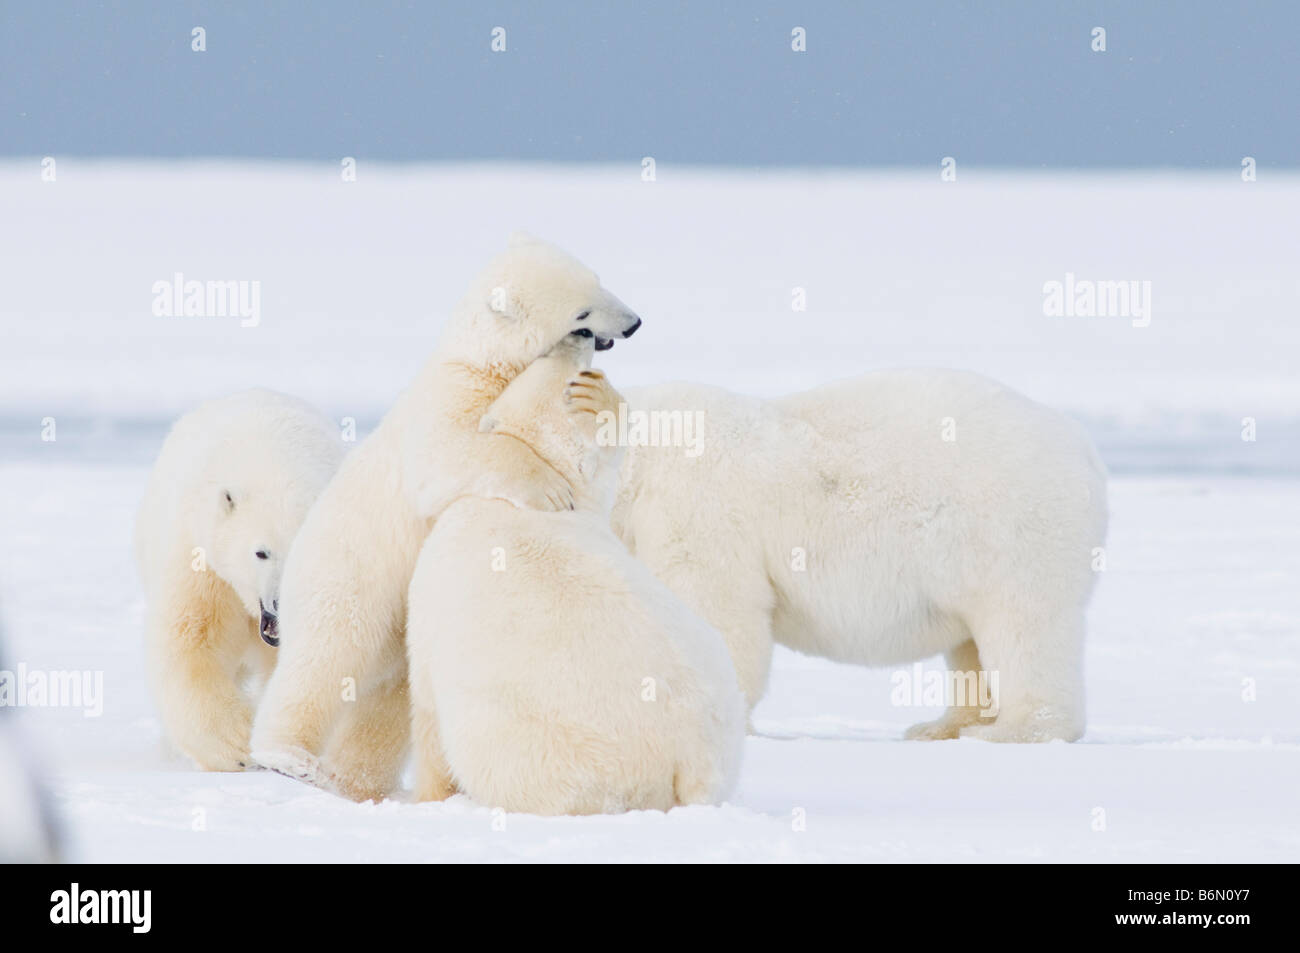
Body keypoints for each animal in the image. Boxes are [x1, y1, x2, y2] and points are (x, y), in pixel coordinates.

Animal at [133, 389, 344, 771]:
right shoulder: (203, 560)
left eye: (301, 549)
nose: (279, 602)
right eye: (261, 552)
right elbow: (189, 641)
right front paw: (237, 746)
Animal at [249, 235, 642, 801]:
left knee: (391, 693)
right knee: (329, 653)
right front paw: (549, 488)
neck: (488, 361)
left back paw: (353, 779)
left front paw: (600, 398)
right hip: (350, 570)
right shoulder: (455, 396)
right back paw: (288, 756)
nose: (633, 324)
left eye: (598, 280)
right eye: (581, 313)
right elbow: (446, 454)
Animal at [405, 338, 745, 814]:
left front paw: (427, 797)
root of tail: (692, 756)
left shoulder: (434, 605)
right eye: (554, 361)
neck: (515, 502)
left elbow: (427, 707)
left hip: (547, 747)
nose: (581, 338)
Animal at [610, 370, 1109, 742]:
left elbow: (717, 611)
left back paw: (1013, 730)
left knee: (1025, 628)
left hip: (1014, 530)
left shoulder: (695, 506)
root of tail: (1085, 451)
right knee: (970, 644)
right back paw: (942, 726)